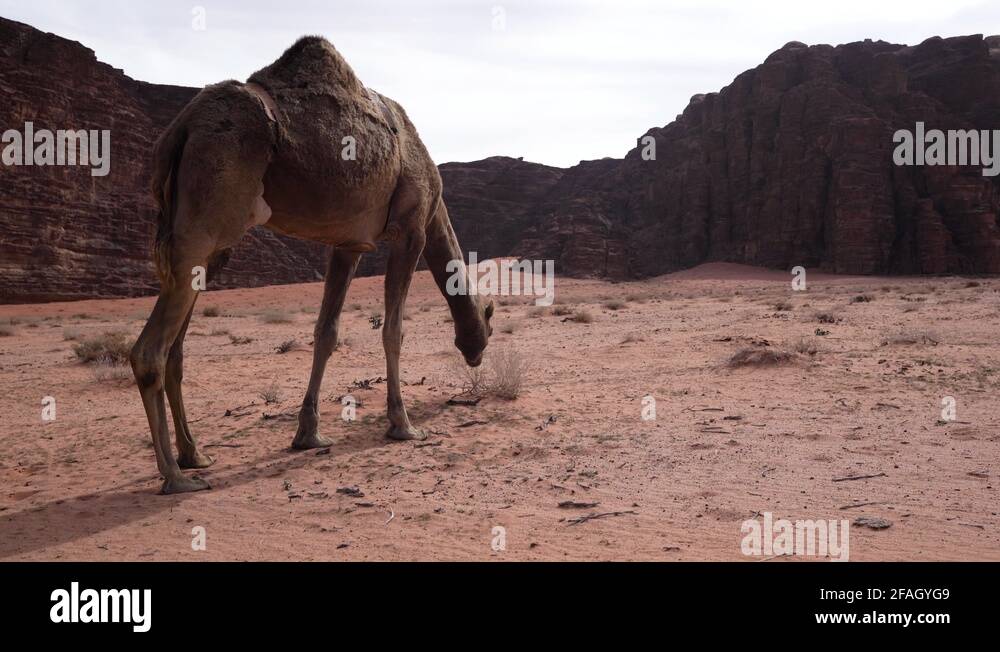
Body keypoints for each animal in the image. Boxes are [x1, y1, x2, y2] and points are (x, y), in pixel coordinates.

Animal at [131, 36, 494, 494]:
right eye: (490, 326)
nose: (476, 355)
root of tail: (180, 130)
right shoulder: (411, 230)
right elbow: (393, 331)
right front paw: (403, 425)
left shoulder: (348, 244)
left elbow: (326, 332)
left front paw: (308, 434)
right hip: (206, 221)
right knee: (149, 352)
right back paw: (175, 477)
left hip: (206, 246)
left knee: (176, 350)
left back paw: (194, 455)